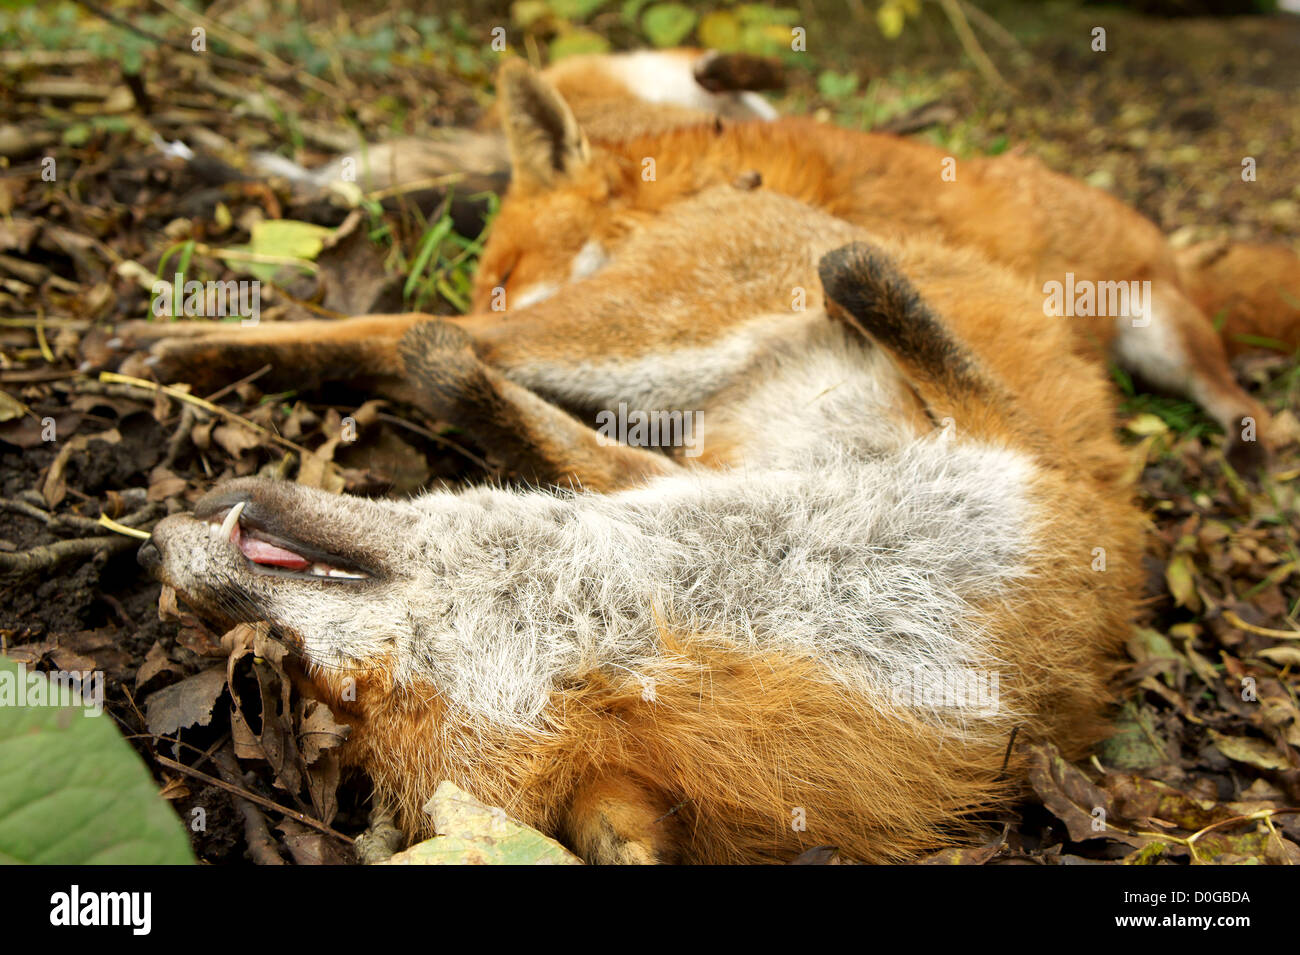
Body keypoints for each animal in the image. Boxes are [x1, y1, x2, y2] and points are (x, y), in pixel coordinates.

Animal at [137, 161, 1142, 863]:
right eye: (319, 690)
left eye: (345, 686)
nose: (166, 569)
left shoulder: (1038, 491)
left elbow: (970, 382)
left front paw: (867, 284)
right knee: (428, 338)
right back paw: (182, 346)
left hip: (639, 343)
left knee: (428, 336)